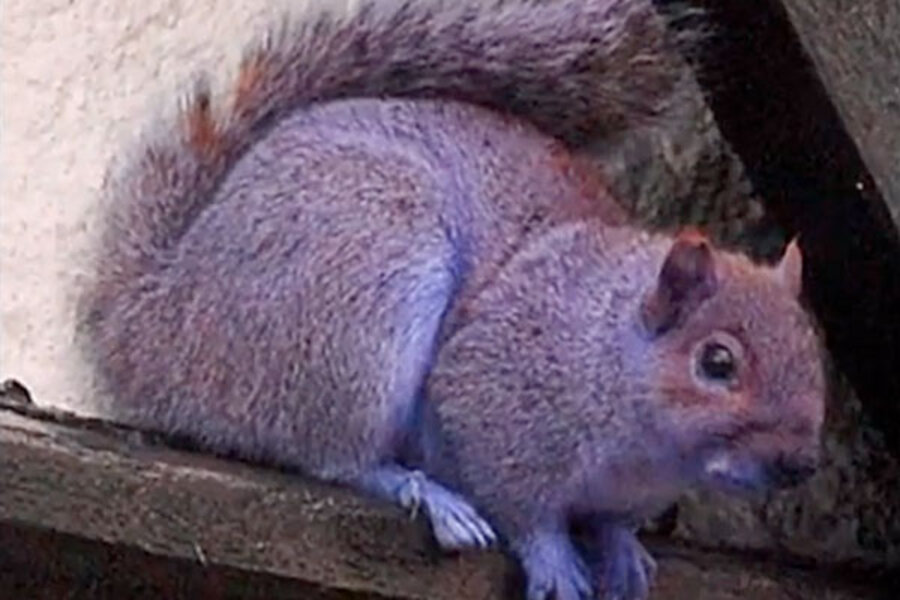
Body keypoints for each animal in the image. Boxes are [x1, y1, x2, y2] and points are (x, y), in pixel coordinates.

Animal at [78, 0, 827, 599]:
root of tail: (162, 319)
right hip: (361, 296)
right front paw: (554, 561)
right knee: (333, 455)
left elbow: (611, 523)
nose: (800, 464)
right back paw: (426, 493)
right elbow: (519, 501)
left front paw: (621, 551)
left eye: (814, 354)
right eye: (717, 362)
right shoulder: (494, 388)